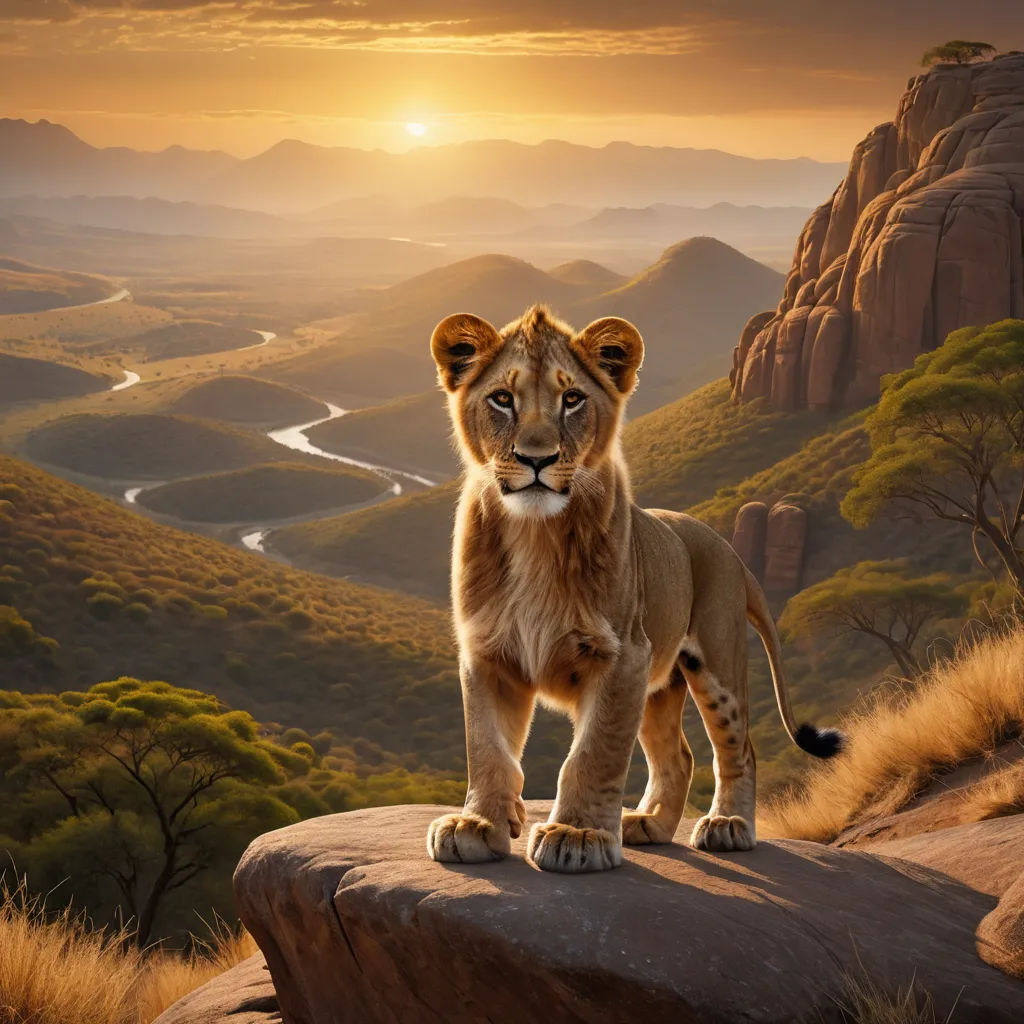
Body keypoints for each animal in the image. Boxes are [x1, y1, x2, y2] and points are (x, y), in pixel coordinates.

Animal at [425, 304, 841, 873]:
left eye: (572, 399)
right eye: (502, 398)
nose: (537, 458)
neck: (535, 533)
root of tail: (726, 546)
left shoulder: (620, 654)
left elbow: (592, 753)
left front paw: (577, 835)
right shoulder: (487, 653)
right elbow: (487, 747)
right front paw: (476, 826)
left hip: (714, 663)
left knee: (738, 749)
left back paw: (728, 825)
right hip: (657, 684)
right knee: (679, 757)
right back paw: (646, 824)